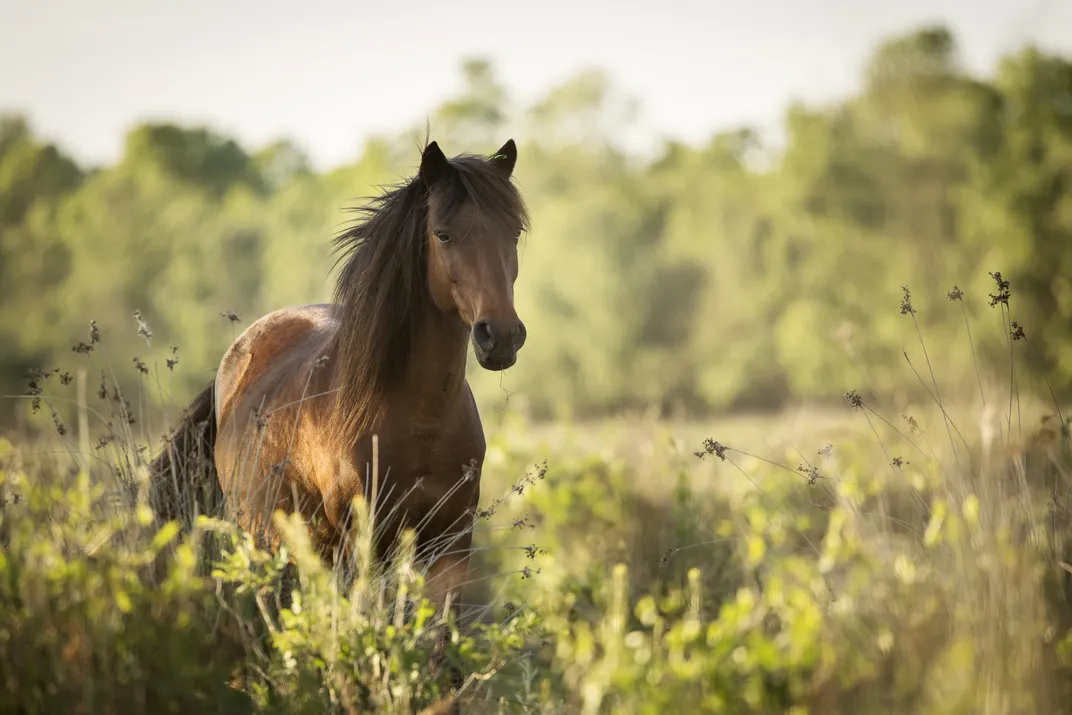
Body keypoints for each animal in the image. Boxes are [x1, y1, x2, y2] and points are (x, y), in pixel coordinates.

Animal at [148, 138, 529, 621]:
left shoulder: (451, 543)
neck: (420, 418)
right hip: (268, 541)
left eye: (513, 233)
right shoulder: (360, 541)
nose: (500, 337)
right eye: (443, 234)